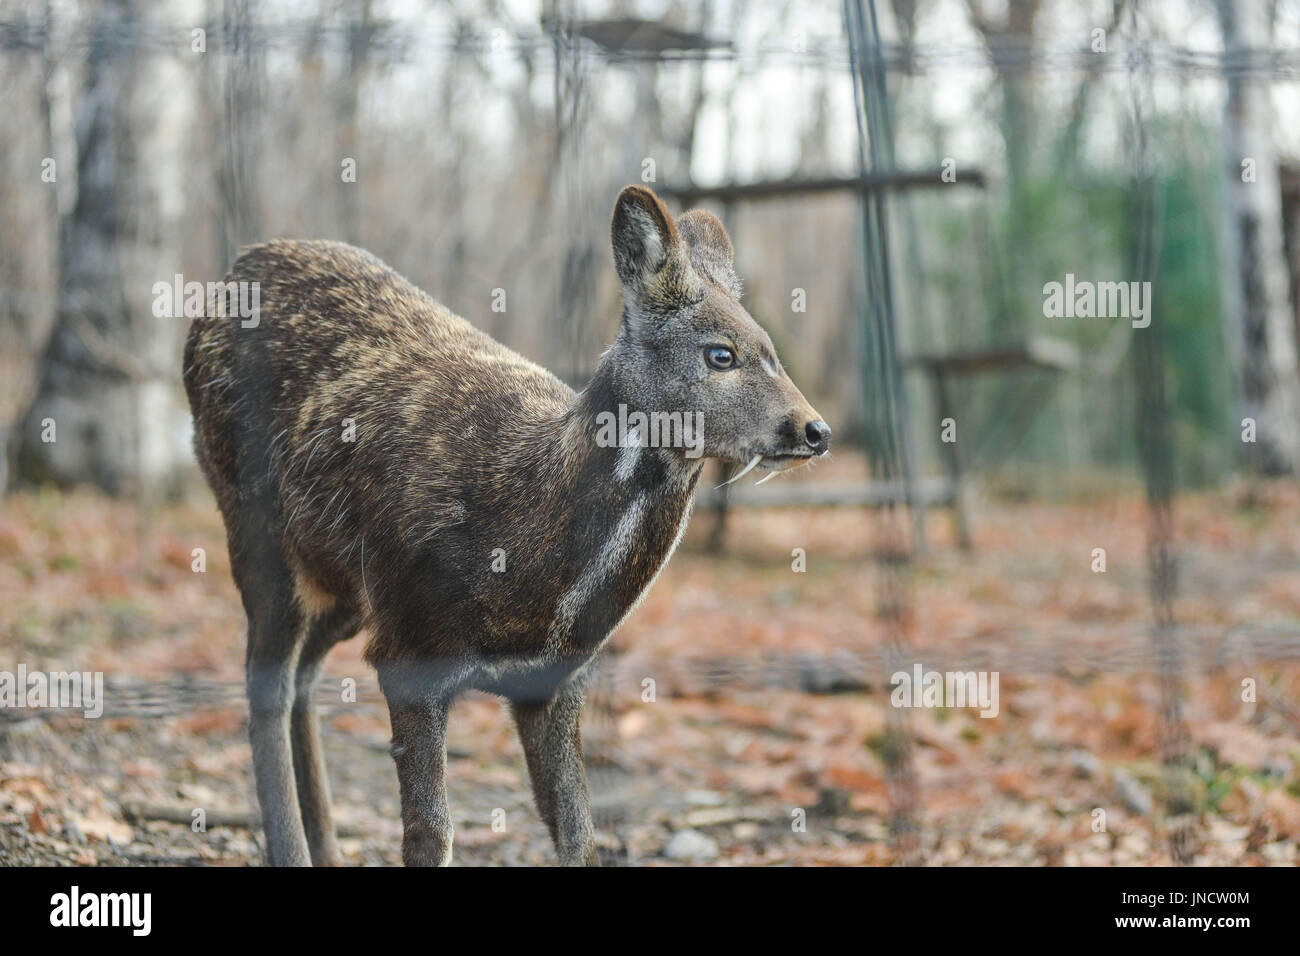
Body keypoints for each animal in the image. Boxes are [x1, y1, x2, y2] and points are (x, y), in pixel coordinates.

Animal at [182, 185, 831, 866]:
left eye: (773, 350)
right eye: (720, 353)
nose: (815, 430)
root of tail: (227, 279)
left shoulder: (558, 680)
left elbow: (578, 832)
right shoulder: (408, 652)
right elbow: (431, 832)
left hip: (344, 587)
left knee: (304, 676)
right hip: (253, 524)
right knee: (267, 685)